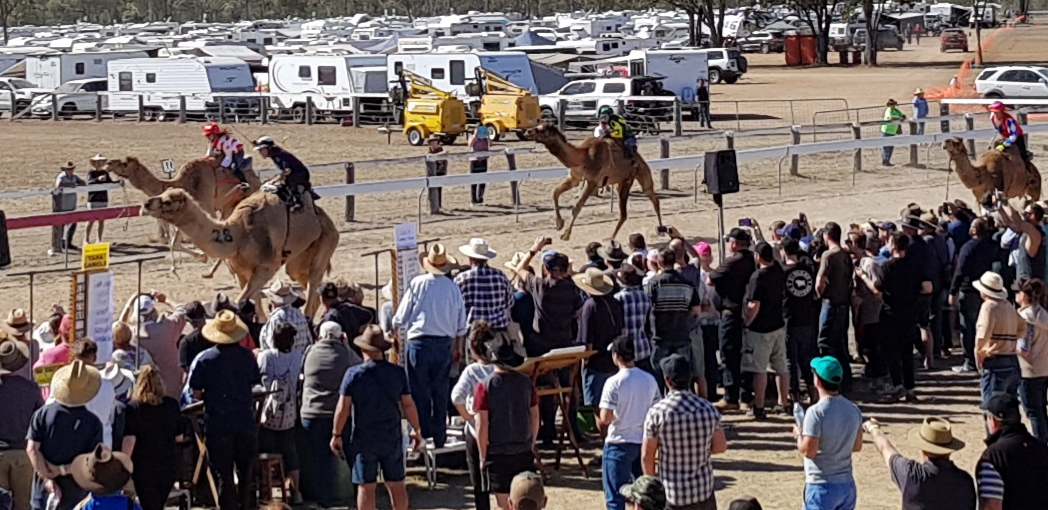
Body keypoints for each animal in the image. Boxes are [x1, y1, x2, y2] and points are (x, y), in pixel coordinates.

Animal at [104, 156, 261, 273]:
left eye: (124, 164)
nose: (108, 163)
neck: (185, 183)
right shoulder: (186, 213)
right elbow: (174, 243)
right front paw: (201, 257)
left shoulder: (207, 207)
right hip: (228, 204)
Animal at [141, 188, 337, 318]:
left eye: (168, 201)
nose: (145, 204)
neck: (237, 236)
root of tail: (328, 220)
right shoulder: (240, 272)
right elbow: (252, 303)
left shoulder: (266, 268)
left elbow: (239, 301)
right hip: (299, 258)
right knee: (303, 280)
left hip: (325, 243)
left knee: (313, 283)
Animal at [526, 123, 663, 241]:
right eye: (537, 126)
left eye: (541, 129)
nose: (527, 131)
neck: (583, 157)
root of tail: (639, 157)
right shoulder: (574, 179)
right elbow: (554, 192)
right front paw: (559, 224)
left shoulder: (592, 181)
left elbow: (577, 207)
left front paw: (566, 235)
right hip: (621, 182)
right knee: (628, 211)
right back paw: (611, 237)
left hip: (638, 175)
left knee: (652, 198)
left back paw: (661, 229)